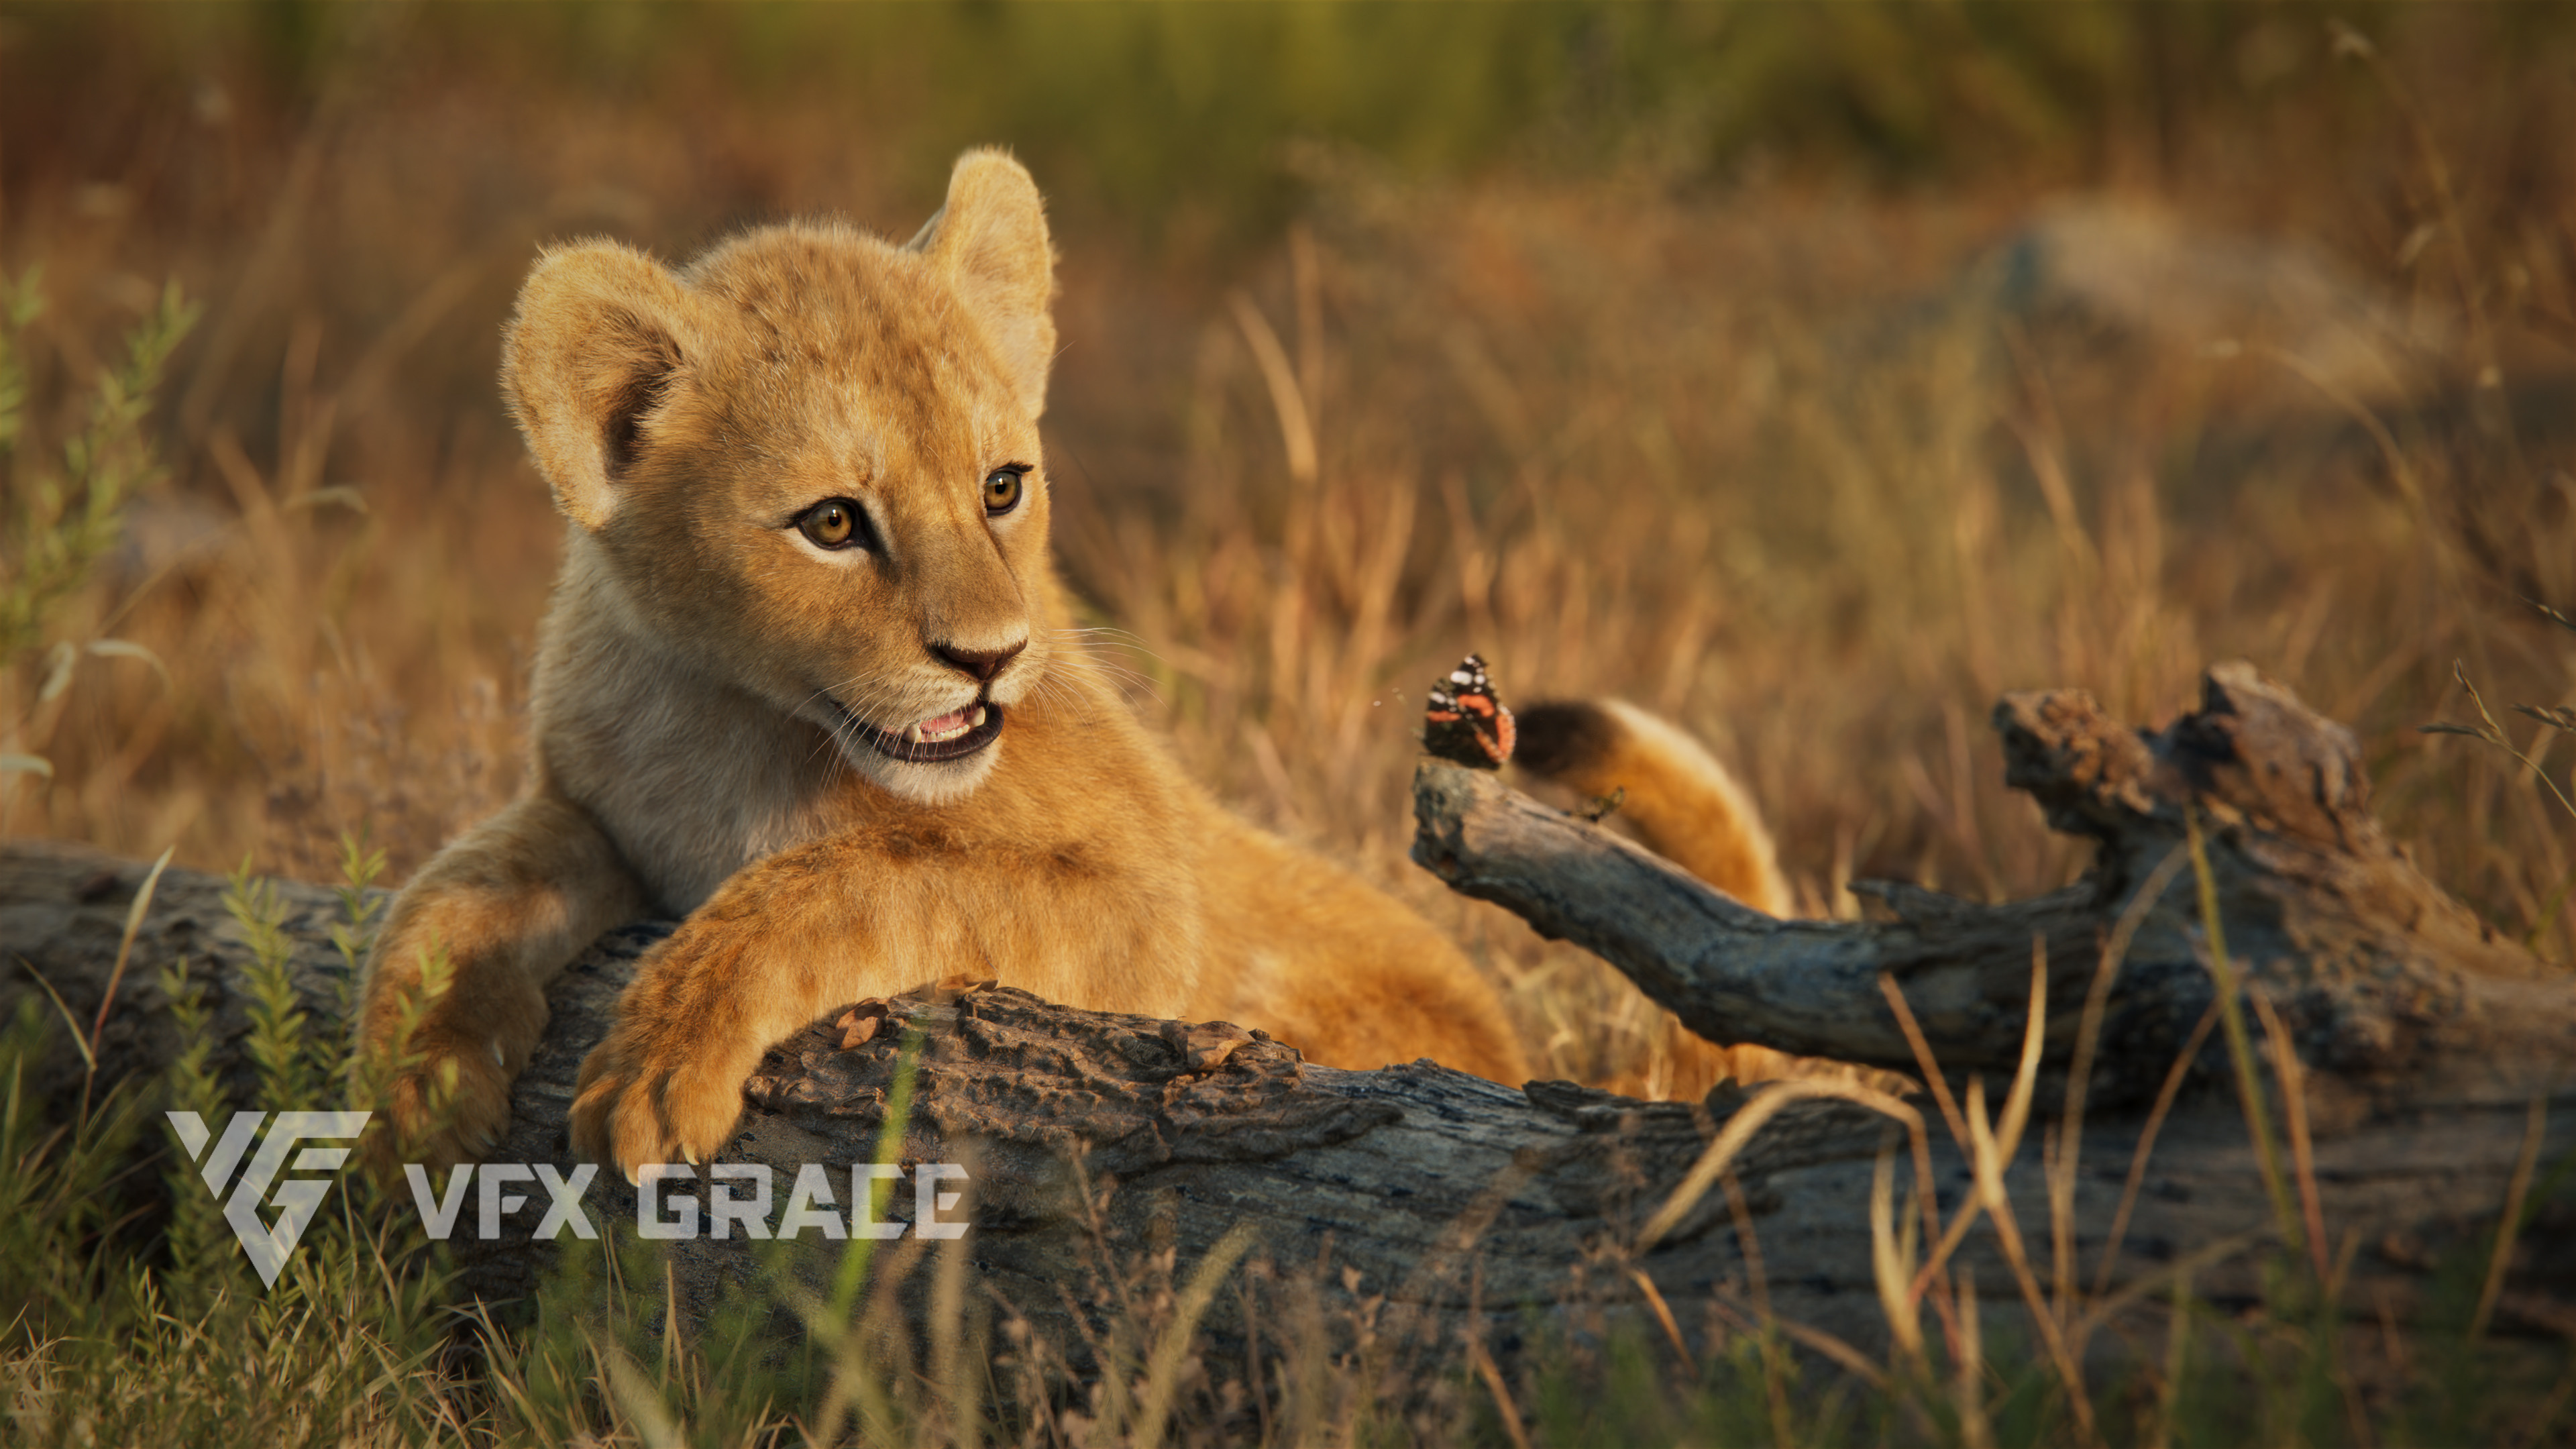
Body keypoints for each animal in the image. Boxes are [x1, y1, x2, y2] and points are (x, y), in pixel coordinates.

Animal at [354, 150, 1791, 1177]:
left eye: (1002, 487)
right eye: (834, 524)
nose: (990, 662)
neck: (738, 718)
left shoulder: (1148, 902)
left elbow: (852, 875)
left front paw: (656, 1063)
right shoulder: (589, 810)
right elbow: (449, 893)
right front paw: (405, 1104)